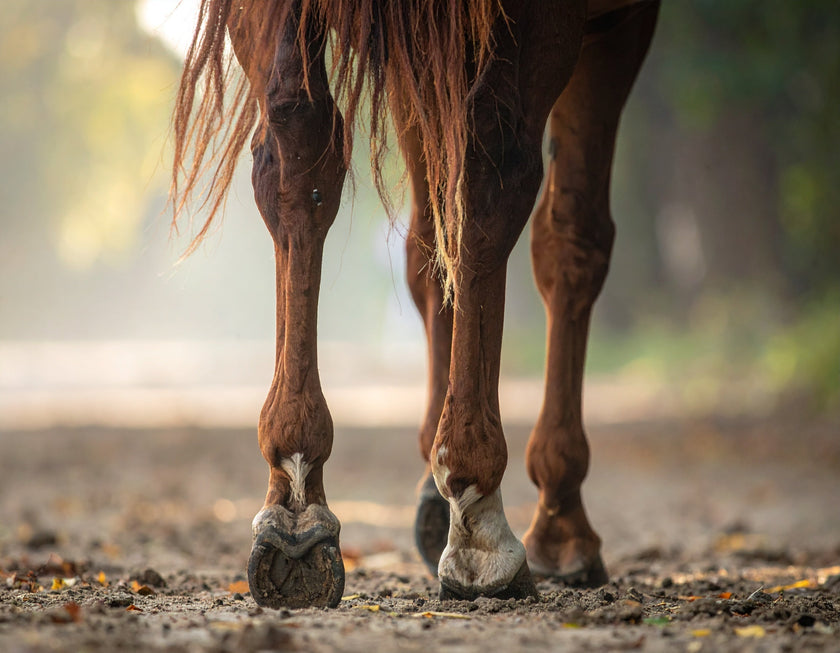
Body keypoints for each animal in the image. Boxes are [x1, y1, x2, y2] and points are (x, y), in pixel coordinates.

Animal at [171, 0, 659, 609]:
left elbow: (430, 248)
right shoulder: (619, 26)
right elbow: (570, 240)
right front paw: (558, 522)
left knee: (298, 142)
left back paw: (296, 507)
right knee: (487, 168)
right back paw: (479, 522)